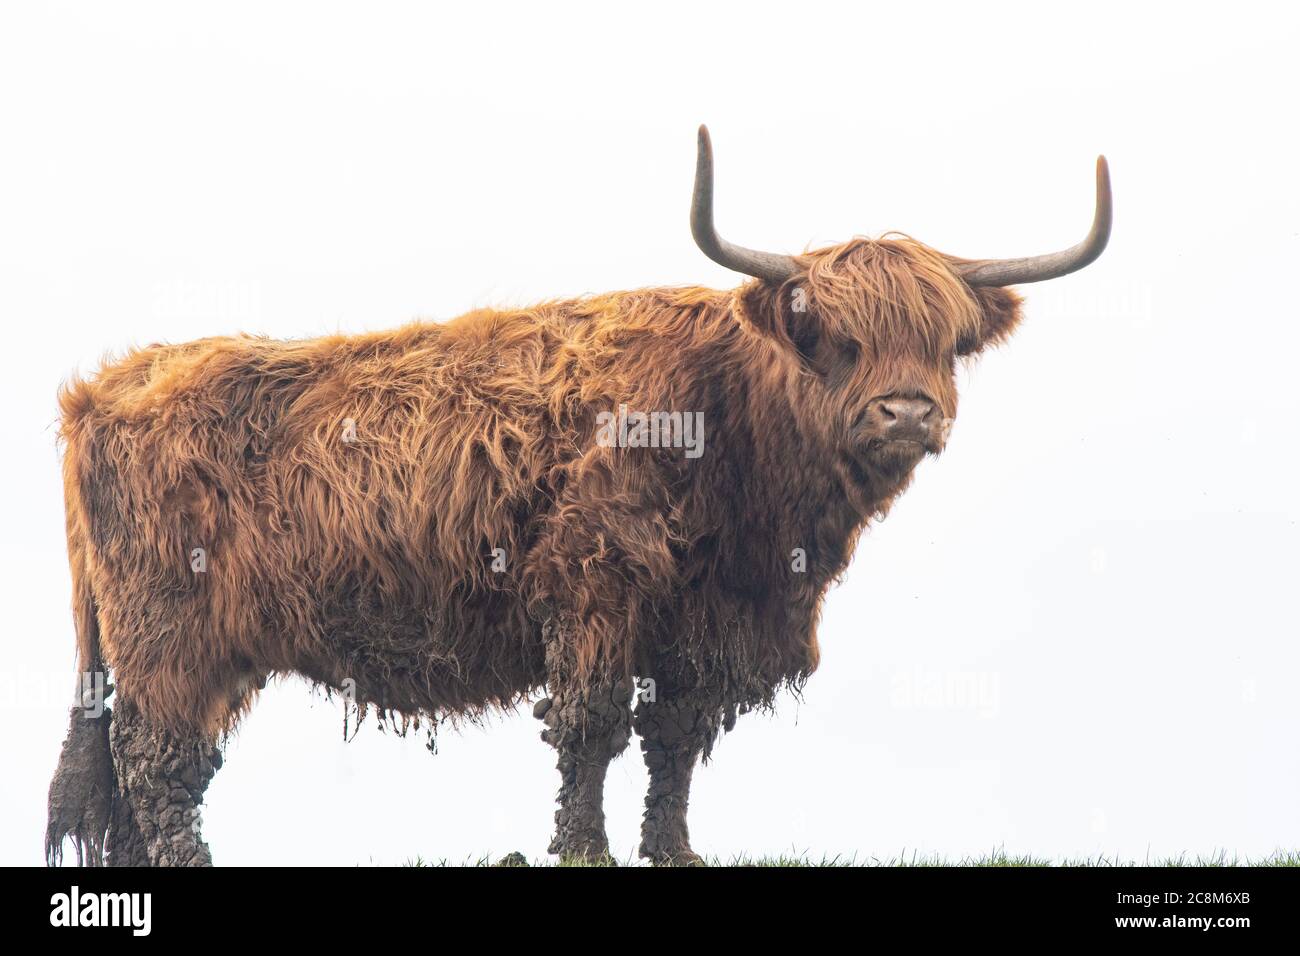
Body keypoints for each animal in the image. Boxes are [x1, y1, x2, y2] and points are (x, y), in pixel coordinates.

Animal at [46, 126, 1111, 866]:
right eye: (834, 336)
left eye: (945, 341)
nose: (906, 411)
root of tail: (102, 389)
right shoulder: (595, 585)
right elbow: (591, 725)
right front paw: (583, 849)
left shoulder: (707, 620)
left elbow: (674, 739)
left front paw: (675, 852)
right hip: (171, 635)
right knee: (161, 766)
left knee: (137, 777)